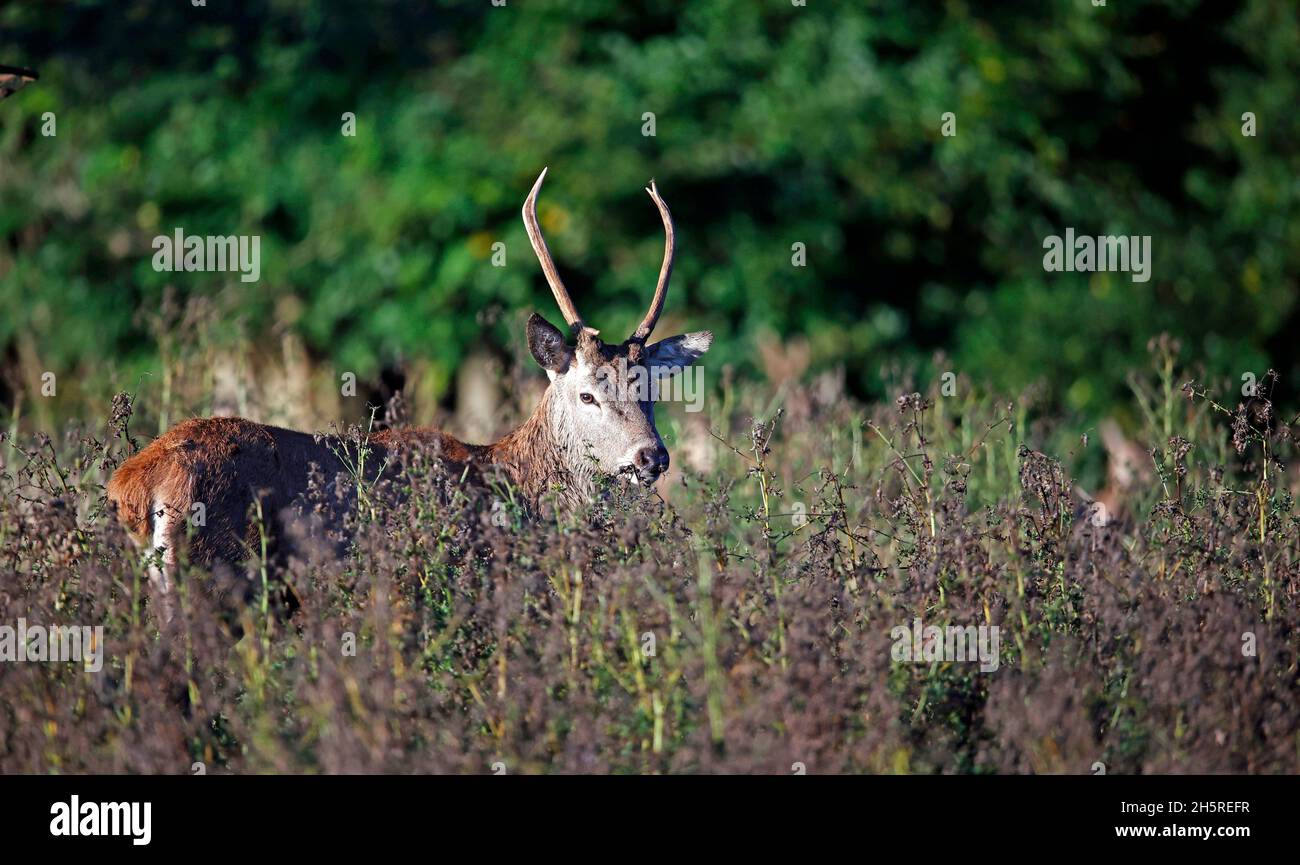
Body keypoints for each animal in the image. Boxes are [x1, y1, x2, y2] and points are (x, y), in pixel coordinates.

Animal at [106, 168, 712, 620]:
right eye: (587, 395)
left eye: (651, 391)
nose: (652, 457)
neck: (516, 486)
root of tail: (133, 484)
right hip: (215, 574)